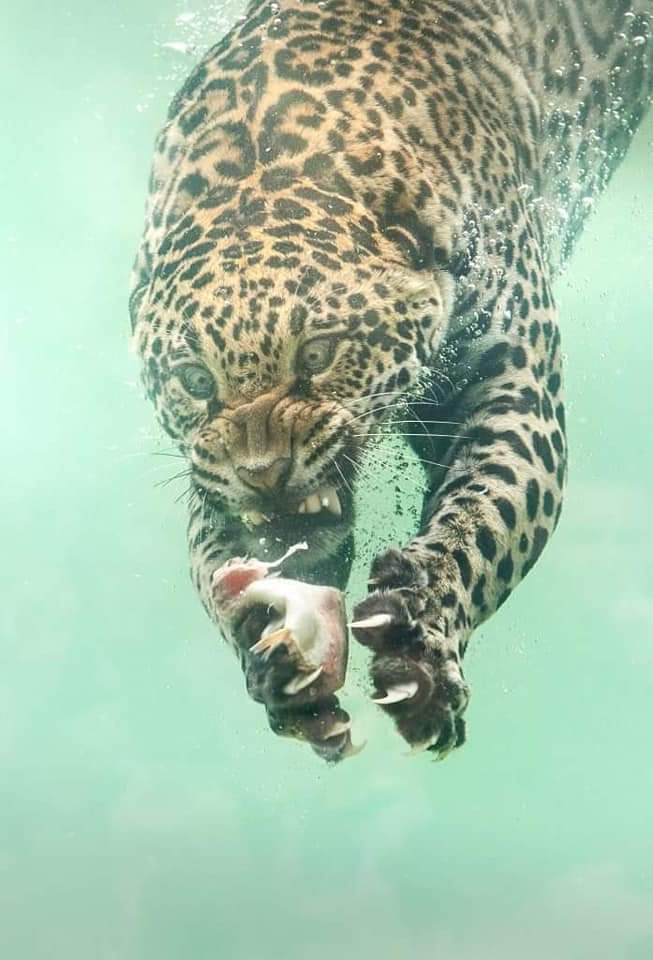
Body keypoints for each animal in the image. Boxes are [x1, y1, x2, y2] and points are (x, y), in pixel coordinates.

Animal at [130, 0, 652, 761]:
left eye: (317, 355)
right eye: (196, 380)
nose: (262, 473)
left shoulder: (513, 395)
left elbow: (484, 520)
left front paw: (421, 638)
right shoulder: (210, 474)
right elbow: (217, 557)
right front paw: (274, 655)